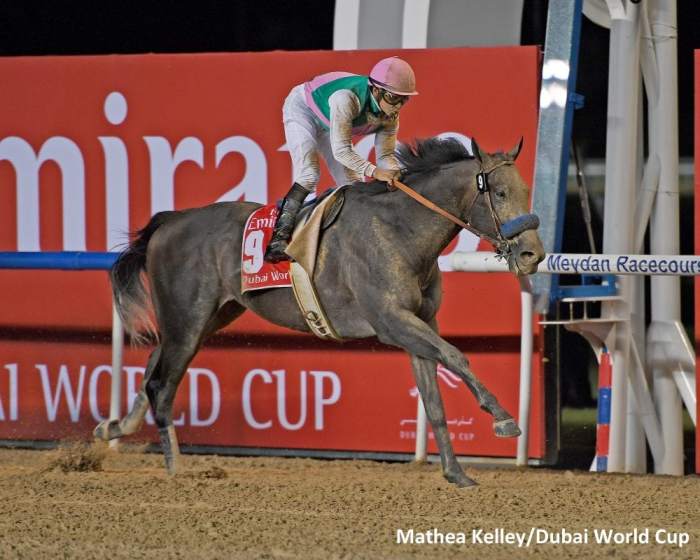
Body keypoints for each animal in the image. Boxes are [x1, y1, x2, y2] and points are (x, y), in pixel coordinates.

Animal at [94, 136, 545, 488]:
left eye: (525, 190)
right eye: (499, 193)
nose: (533, 255)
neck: (401, 230)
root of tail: (171, 220)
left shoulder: (418, 325)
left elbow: (433, 400)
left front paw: (456, 472)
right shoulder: (392, 322)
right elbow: (456, 356)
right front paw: (504, 419)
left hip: (210, 316)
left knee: (154, 367)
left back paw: (114, 426)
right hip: (187, 317)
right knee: (163, 383)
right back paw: (174, 467)